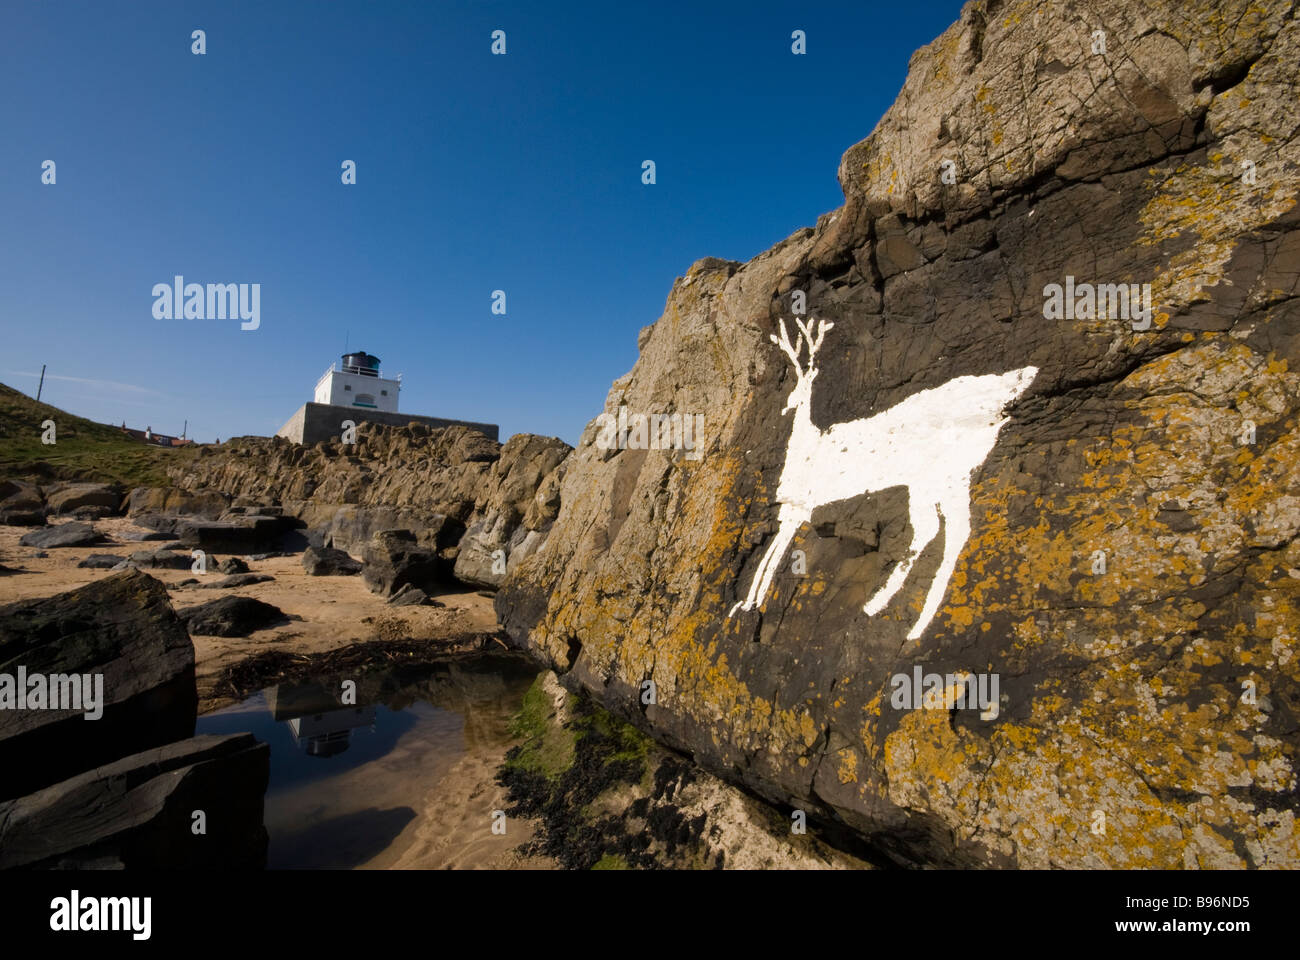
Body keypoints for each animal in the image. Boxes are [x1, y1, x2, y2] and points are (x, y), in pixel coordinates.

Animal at [728, 316, 1037, 641]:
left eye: (803, 385)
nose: (786, 405)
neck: (806, 443)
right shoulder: (790, 510)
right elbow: (772, 552)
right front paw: (746, 604)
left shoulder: (798, 508)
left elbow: (773, 555)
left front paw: (750, 602)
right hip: (936, 483)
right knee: (944, 529)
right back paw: (899, 614)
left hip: (940, 478)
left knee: (945, 530)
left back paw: (890, 610)